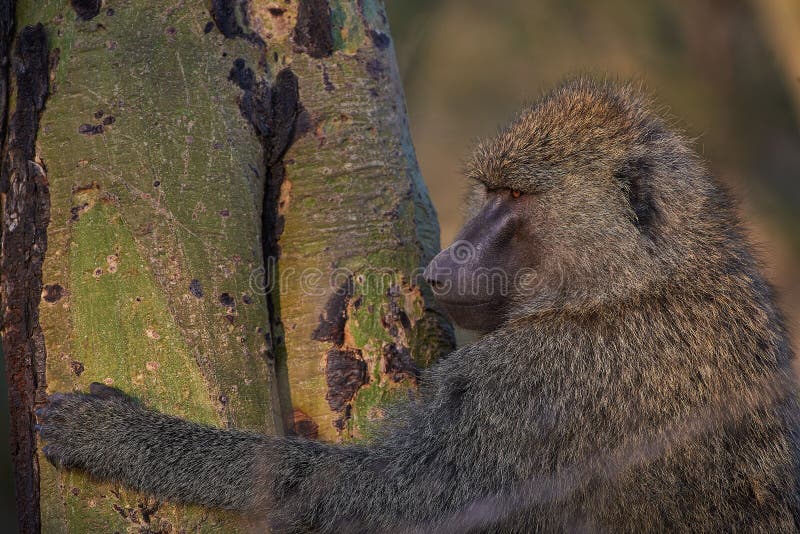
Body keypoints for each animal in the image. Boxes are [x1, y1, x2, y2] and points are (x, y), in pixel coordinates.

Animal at [37, 77, 800, 532]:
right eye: (489, 190)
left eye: (517, 197)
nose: (442, 266)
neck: (636, 281)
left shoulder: (535, 384)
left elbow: (389, 504)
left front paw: (118, 435)